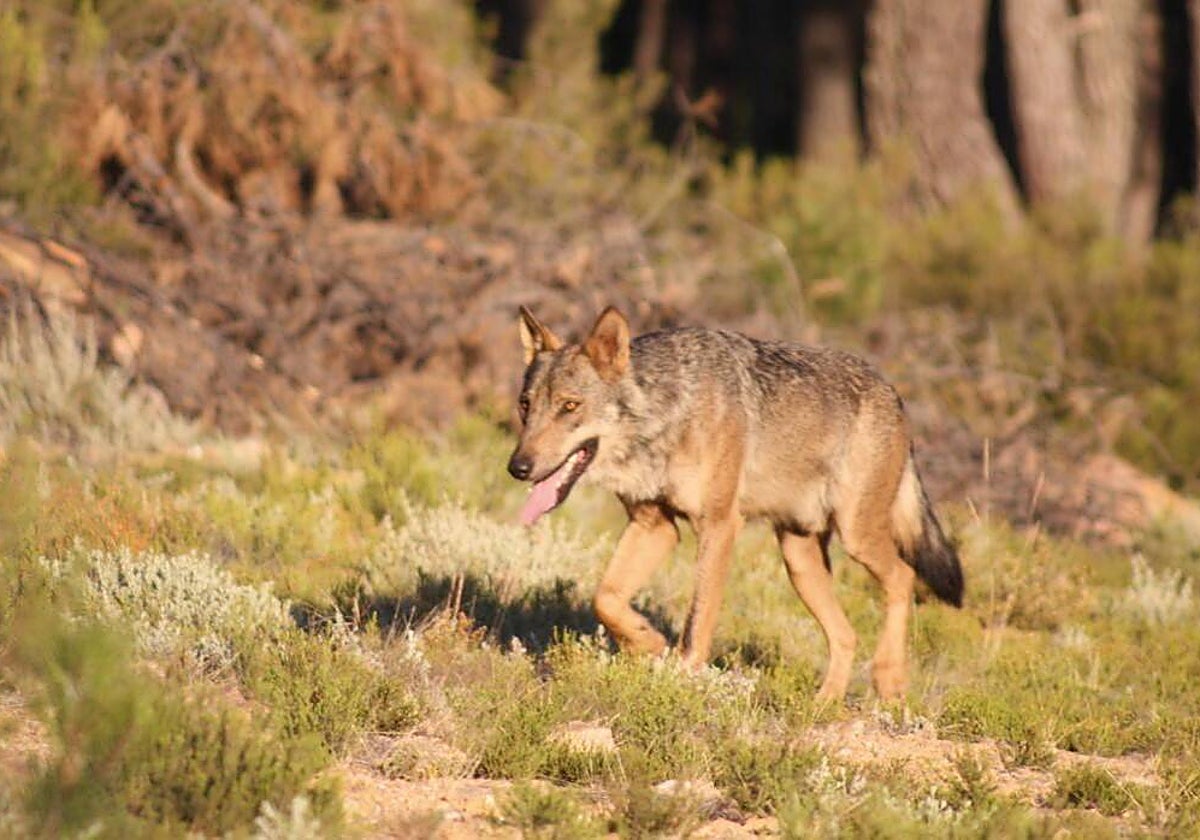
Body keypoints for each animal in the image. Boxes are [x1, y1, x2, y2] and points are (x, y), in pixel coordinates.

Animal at [507, 306, 963, 701]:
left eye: (569, 406)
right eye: (526, 405)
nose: (518, 467)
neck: (666, 413)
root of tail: (894, 393)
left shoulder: (720, 525)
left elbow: (697, 622)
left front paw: (682, 681)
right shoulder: (655, 526)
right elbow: (606, 598)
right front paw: (648, 643)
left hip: (856, 535)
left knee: (903, 577)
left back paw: (889, 679)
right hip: (799, 559)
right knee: (846, 634)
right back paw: (825, 703)